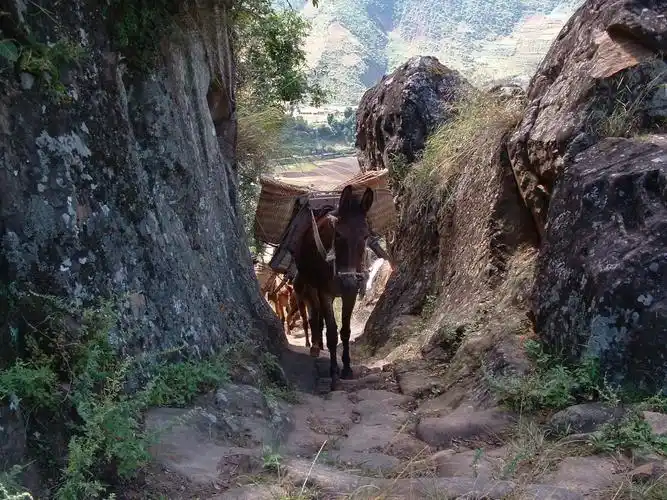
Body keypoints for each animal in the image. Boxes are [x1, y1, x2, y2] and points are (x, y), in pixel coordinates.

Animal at [293, 185, 374, 389]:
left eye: (365, 236)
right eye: (338, 234)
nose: (348, 281)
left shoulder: (350, 294)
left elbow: (345, 331)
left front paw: (347, 369)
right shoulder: (325, 293)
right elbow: (331, 333)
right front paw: (334, 375)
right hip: (310, 287)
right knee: (314, 317)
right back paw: (315, 346)